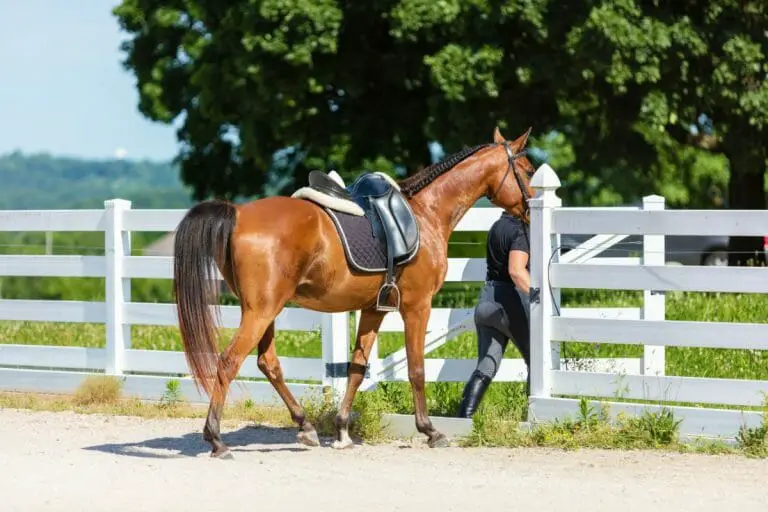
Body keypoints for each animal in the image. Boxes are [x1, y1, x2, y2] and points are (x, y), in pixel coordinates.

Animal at [172, 126, 537, 458]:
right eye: (529, 169)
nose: (531, 211)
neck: (426, 212)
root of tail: (238, 213)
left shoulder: (374, 309)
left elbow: (357, 367)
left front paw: (343, 429)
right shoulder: (417, 306)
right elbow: (417, 369)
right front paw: (429, 430)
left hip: (266, 310)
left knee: (268, 363)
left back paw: (305, 426)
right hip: (260, 311)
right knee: (228, 361)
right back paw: (216, 439)